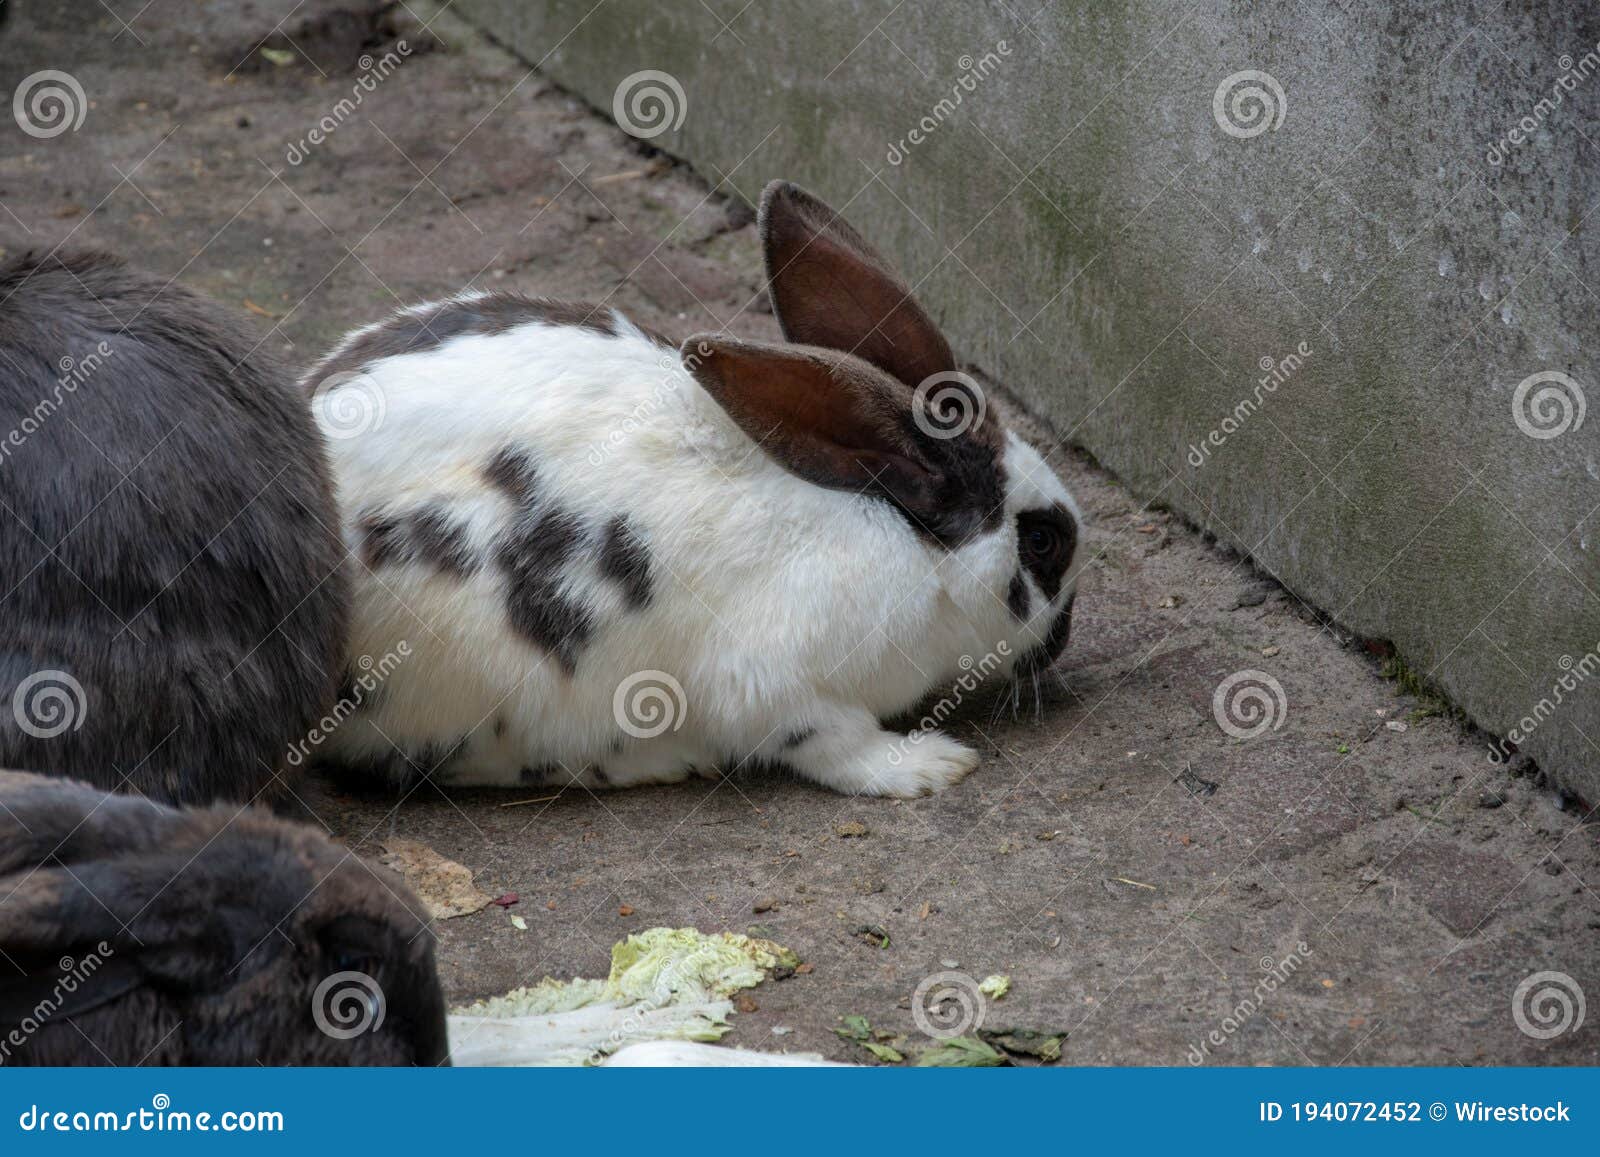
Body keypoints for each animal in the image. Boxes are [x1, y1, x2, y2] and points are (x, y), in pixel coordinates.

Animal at [302, 180, 1081, 798]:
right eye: (1043, 541)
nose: (1063, 639)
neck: (913, 545)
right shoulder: (774, 681)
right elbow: (833, 741)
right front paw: (930, 766)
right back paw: (659, 760)